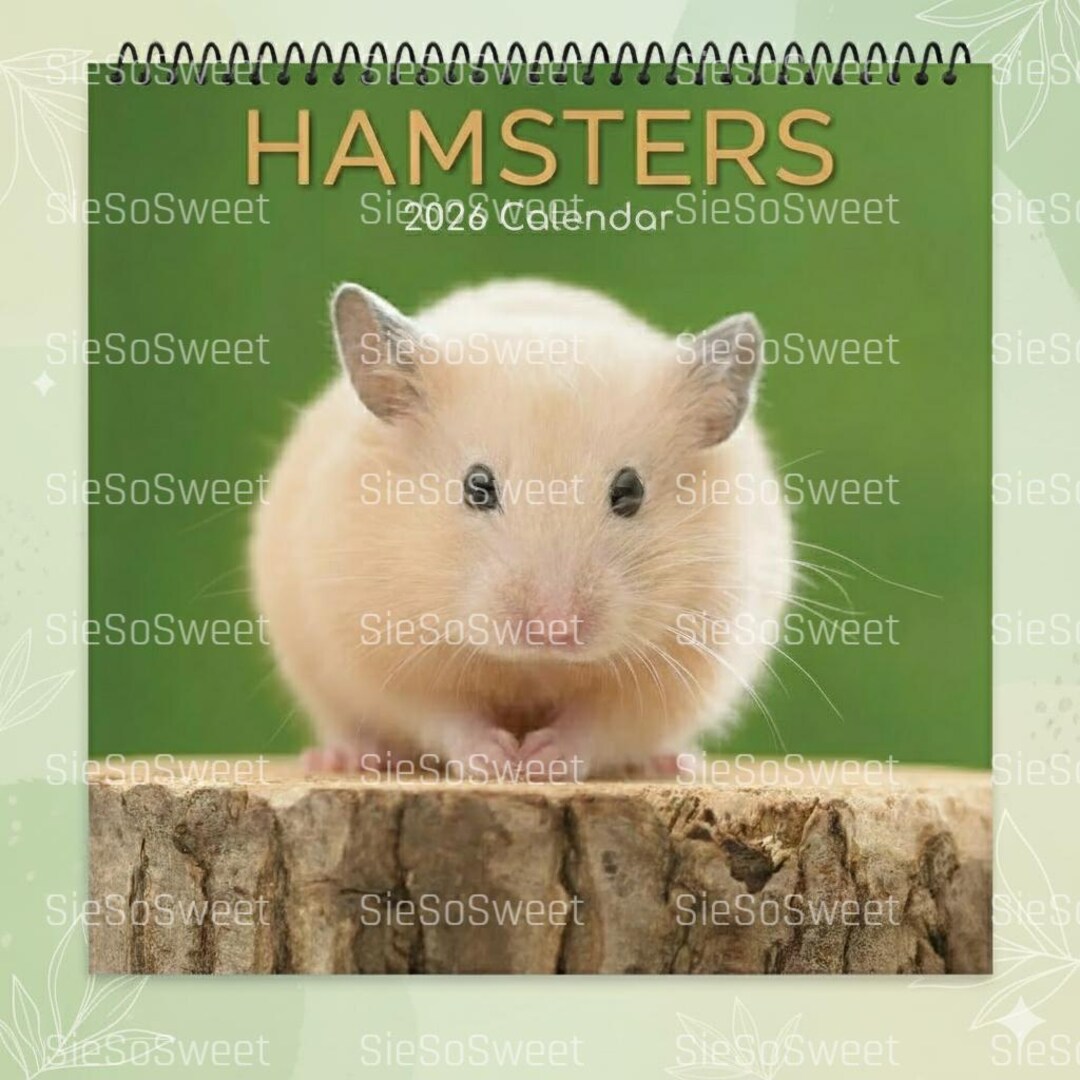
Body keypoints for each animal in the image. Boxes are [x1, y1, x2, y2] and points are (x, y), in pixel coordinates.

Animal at [250, 278, 793, 779]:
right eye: (477, 486)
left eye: (630, 490)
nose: (554, 629)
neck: (533, 666)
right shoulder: (377, 654)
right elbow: (444, 715)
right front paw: (498, 760)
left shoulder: (680, 670)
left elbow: (599, 726)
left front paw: (539, 761)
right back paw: (344, 758)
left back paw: (675, 764)